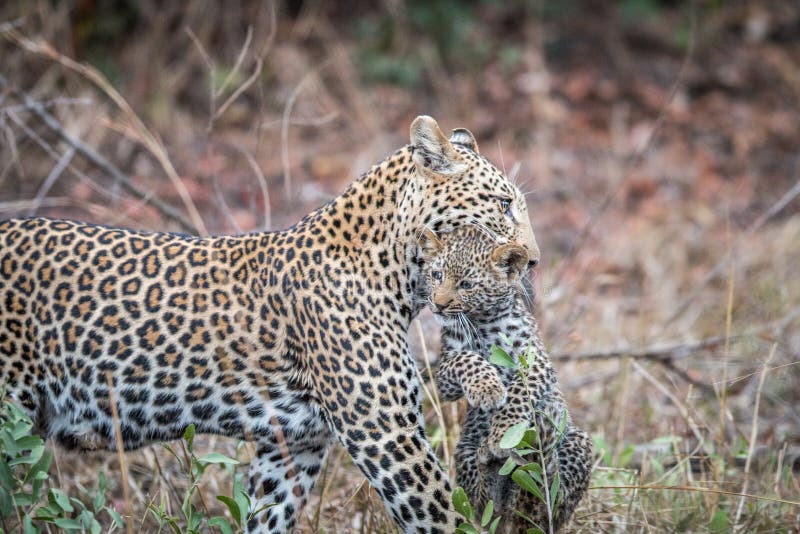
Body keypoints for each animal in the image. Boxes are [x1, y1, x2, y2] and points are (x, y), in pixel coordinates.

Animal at [0, 115, 540, 533]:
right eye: (502, 204)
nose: (532, 261)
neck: (397, 271)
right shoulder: (385, 433)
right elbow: (442, 514)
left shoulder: (293, 447)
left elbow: (266, 515)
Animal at [417, 225, 592, 533]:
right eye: (436, 275)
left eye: (467, 285)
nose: (438, 305)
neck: (483, 321)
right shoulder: (445, 374)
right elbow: (467, 358)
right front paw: (487, 388)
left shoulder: (536, 362)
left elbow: (520, 393)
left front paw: (502, 432)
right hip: (464, 452)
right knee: (483, 506)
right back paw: (491, 466)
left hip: (577, 444)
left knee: (549, 504)